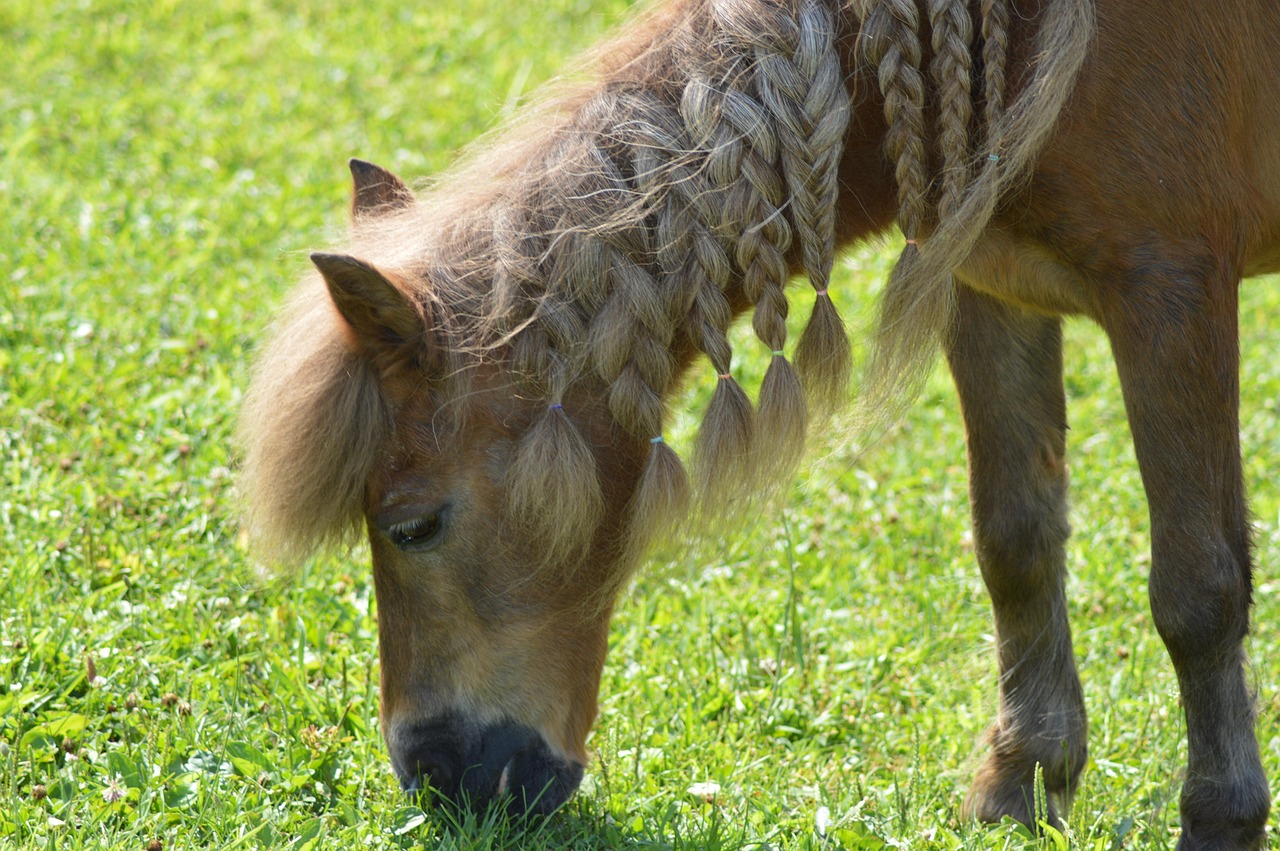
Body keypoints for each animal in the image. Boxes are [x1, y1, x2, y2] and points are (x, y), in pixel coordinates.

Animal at [237, 0, 1280, 846]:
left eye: (411, 525)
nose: (437, 780)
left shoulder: (1170, 293)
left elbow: (1197, 587)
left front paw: (1220, 817)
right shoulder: (990, 285)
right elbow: (1016, 543)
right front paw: (1019, 782)